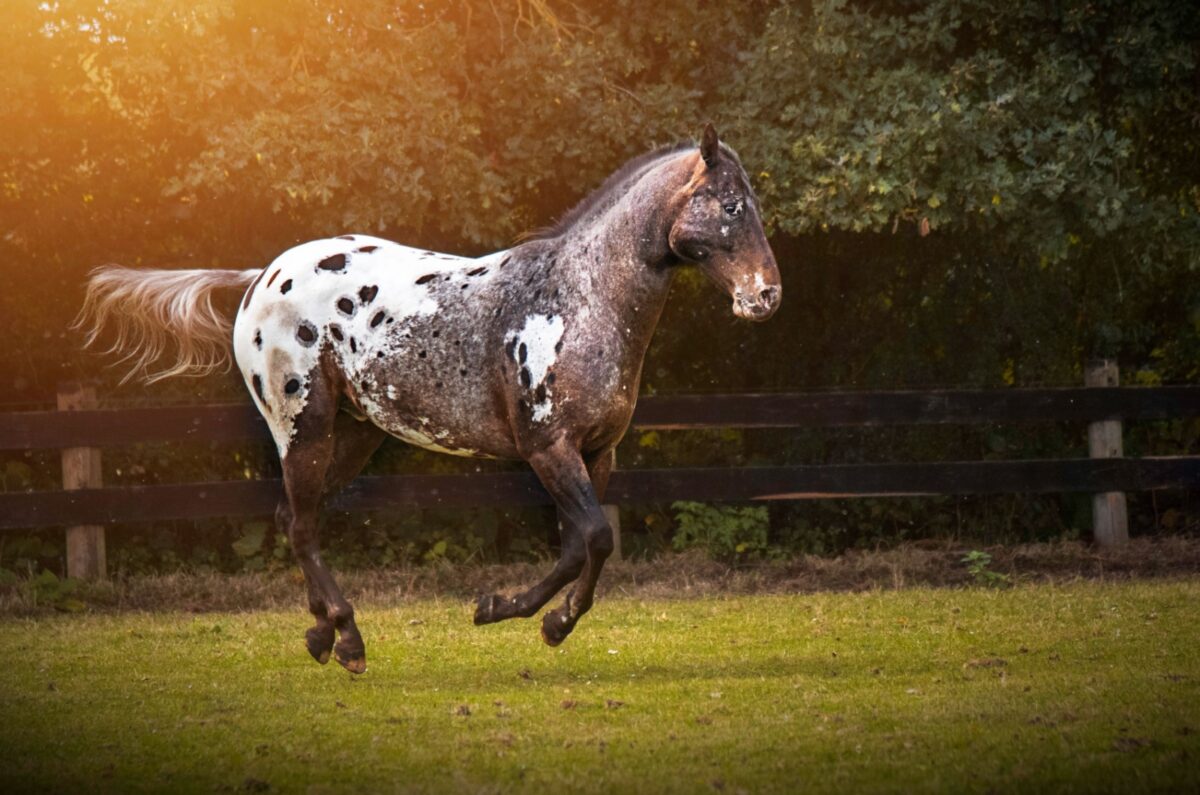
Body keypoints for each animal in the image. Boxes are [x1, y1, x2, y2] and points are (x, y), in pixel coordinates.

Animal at [77, 125, 781, 673]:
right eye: (730, 206)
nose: (765, 296)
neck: (579, 299)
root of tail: (262, 278)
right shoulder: (548, 448)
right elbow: (593, 538)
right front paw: (521, 615)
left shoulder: (595, 453)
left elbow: (581, 546)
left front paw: (529, 616)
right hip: (304, 430)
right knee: (301, 525)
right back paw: (349, 640)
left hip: (352, 439)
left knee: (292, 520)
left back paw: (319, 636)